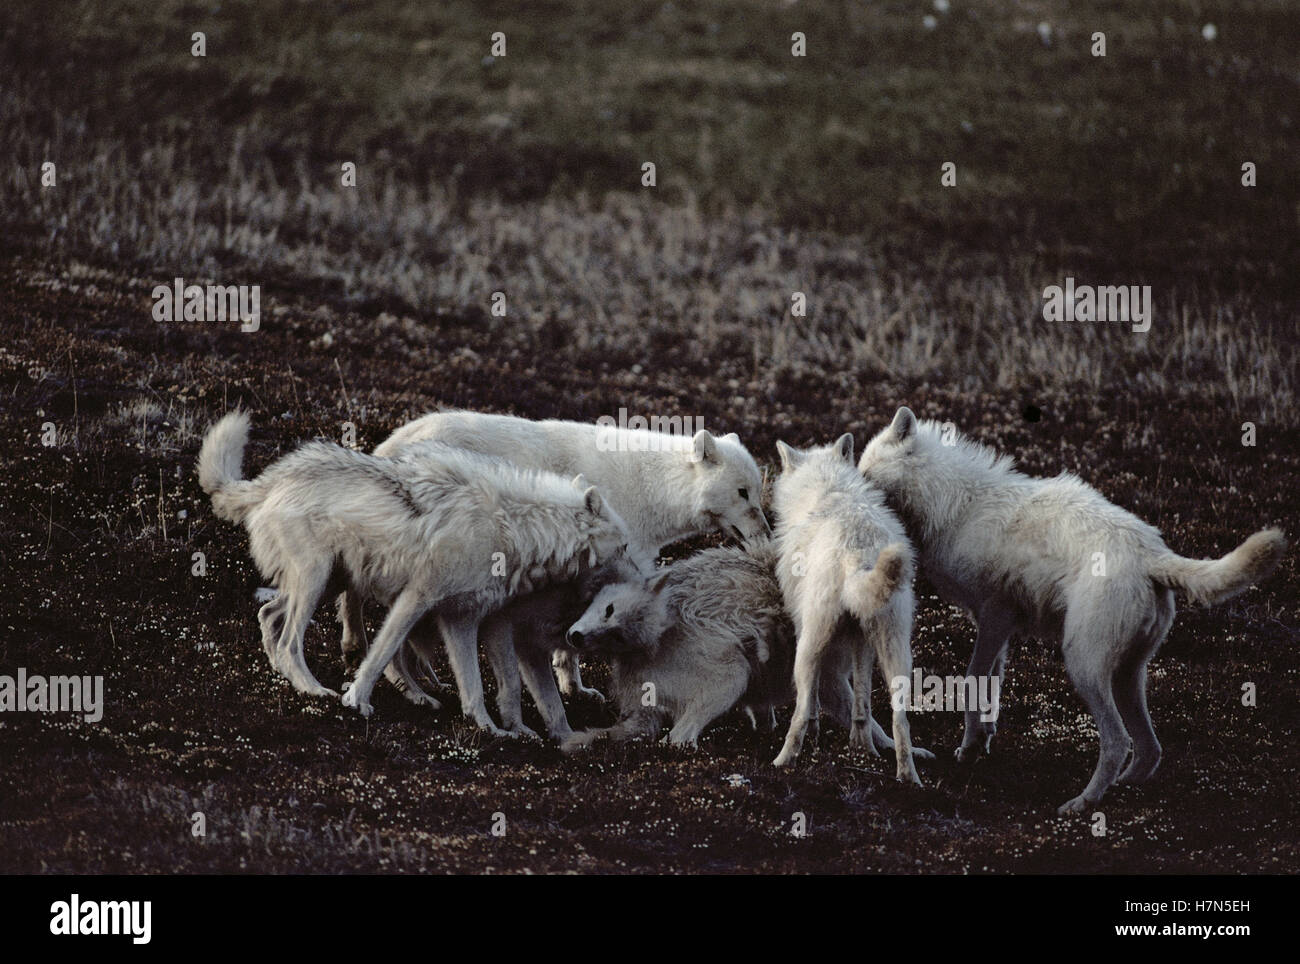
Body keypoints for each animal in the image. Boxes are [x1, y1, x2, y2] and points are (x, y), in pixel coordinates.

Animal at [197, 411, 636, 731]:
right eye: (626, 547)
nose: (642, 577)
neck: (512, 528)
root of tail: (271, 480)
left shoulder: (461, 618)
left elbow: (473, 686)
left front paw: (488, 728)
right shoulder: (417, 598)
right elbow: (382, 654)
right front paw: (357, 701)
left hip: (327, 581)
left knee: (268, 614)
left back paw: (291, 678)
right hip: (316, 581)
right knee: (290, 640)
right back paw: (314, 690)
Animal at [345, 410, 770, 711]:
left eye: (757, 490)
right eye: (742, 492)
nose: (765, 532)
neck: (654, 490)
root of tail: (386, 444)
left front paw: (576, 687)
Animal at [561, 541, 932, 758]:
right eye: (607, 608)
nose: (576, 638)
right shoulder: (827, 678)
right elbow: (871, 723)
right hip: (732, 676)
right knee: (678, 738)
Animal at [769, 435, 922, 784]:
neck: (830, 491)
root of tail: (858, 552)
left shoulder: (806, 629)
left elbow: (812, 702)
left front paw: (815, 735)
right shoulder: (861, 641)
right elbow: (862, 701)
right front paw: (862, 745)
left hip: (808, 645)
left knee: (800, 711)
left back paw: (783, 761)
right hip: (896, 654)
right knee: (899, 721)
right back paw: (904, 776)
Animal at [858, 406, 1287, 813]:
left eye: (865, 470)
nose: (850, 491)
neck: (955, 503)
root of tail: (1153, 552)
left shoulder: (995, 617)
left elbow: (970, 684)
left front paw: (970, 748)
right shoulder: (998, 627)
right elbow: (990, 692)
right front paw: (979, 744)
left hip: (1083, 667)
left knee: (1118, 742)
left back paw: (1082, 803)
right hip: (1127, 676)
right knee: (1149, 750)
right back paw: (1122, 788)